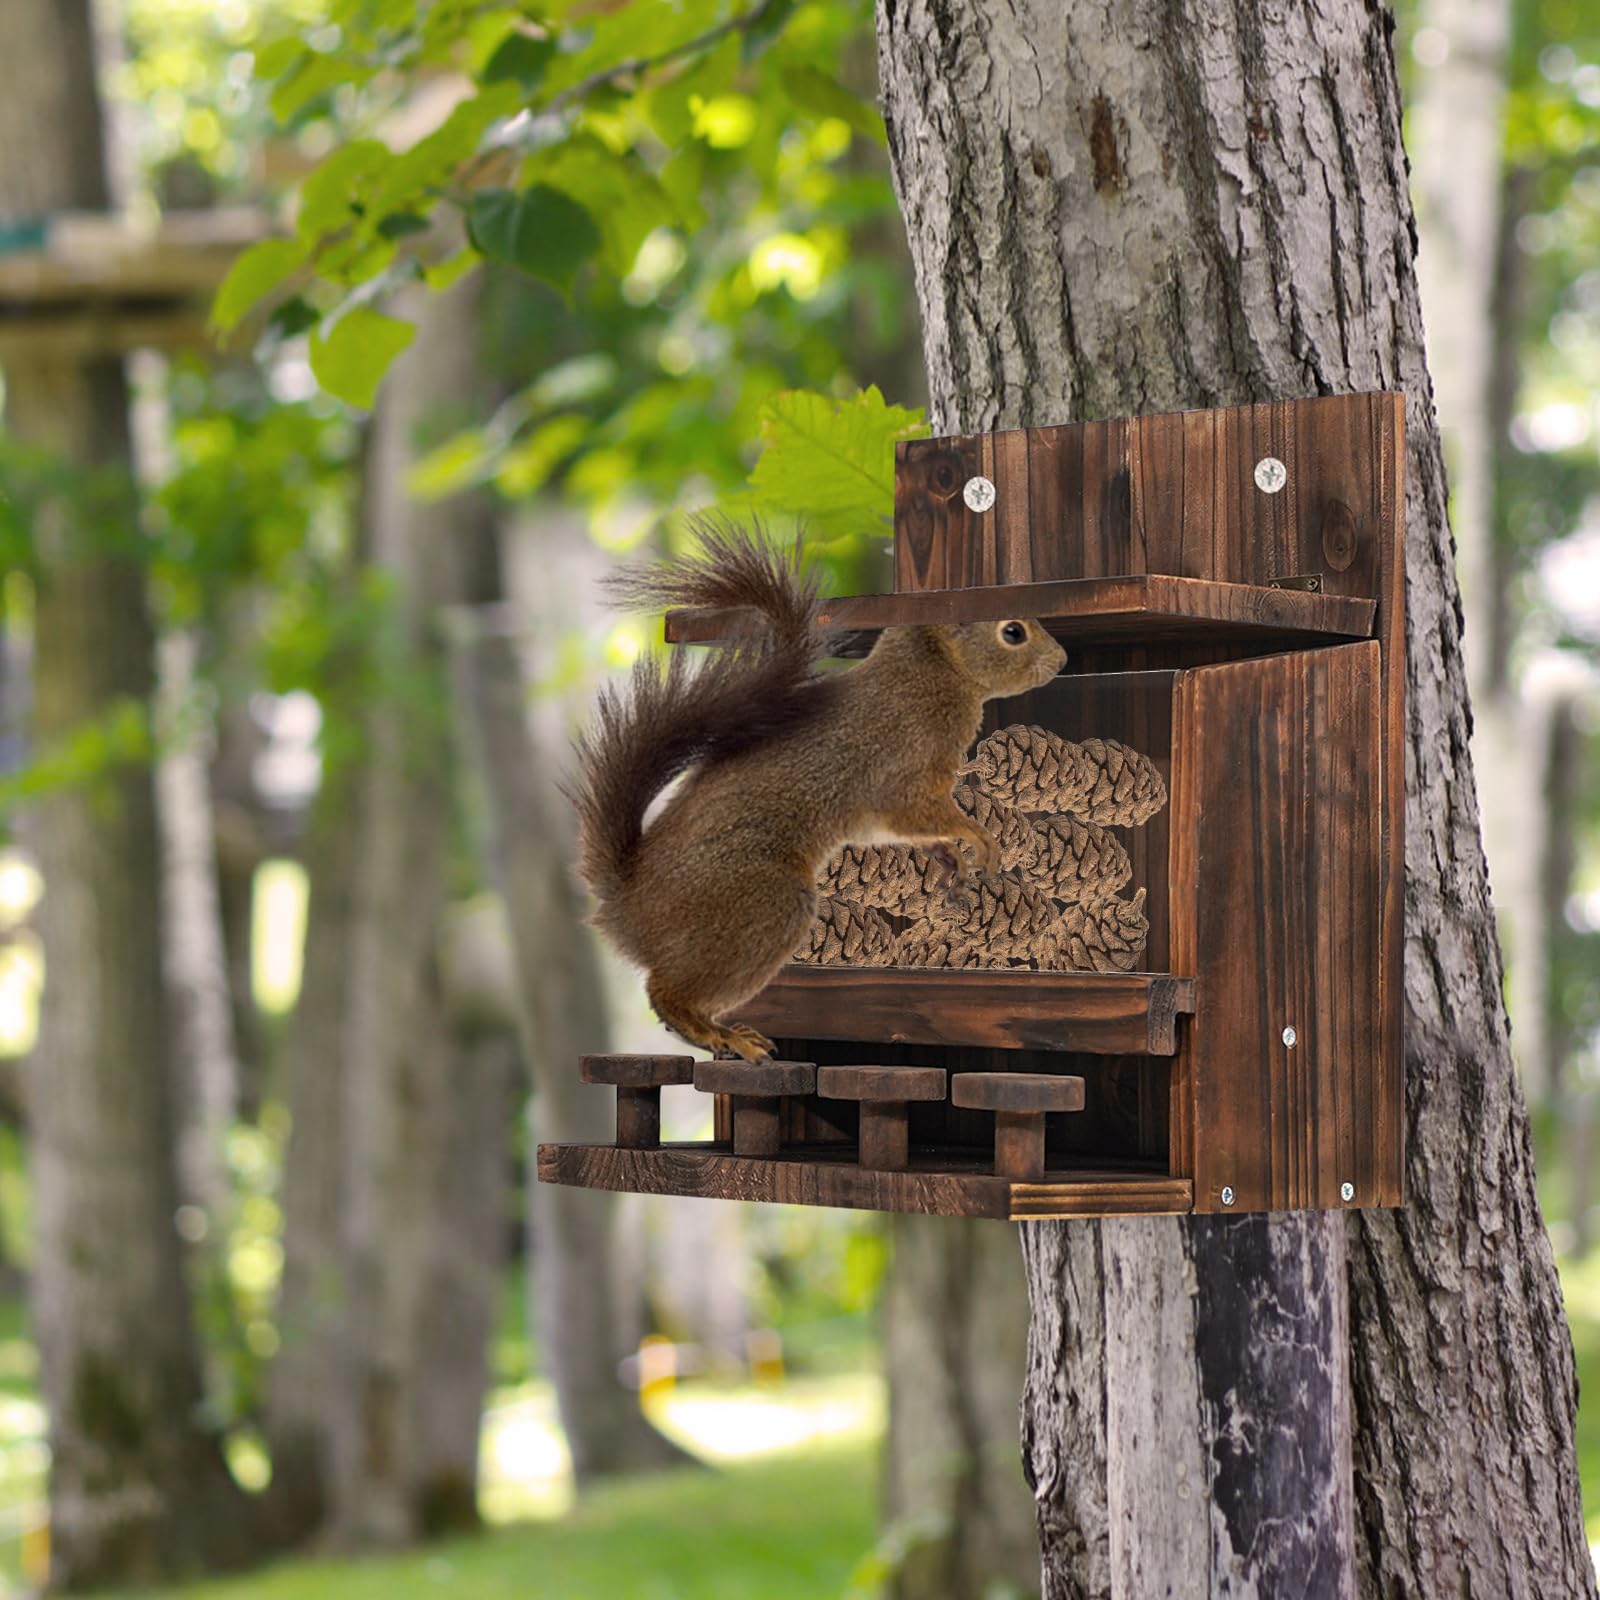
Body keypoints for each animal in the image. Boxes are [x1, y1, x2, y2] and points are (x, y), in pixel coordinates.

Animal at [570, 519, 1067, 1061]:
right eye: (1013, 632)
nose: (1062, 658)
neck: (930, 675)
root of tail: (628, 904)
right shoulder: (903, 770)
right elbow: (918, 812)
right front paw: (979, 839)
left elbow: (903, 830)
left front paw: (948, 856)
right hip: (762, 906)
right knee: (666, 991)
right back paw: (721, 1034)